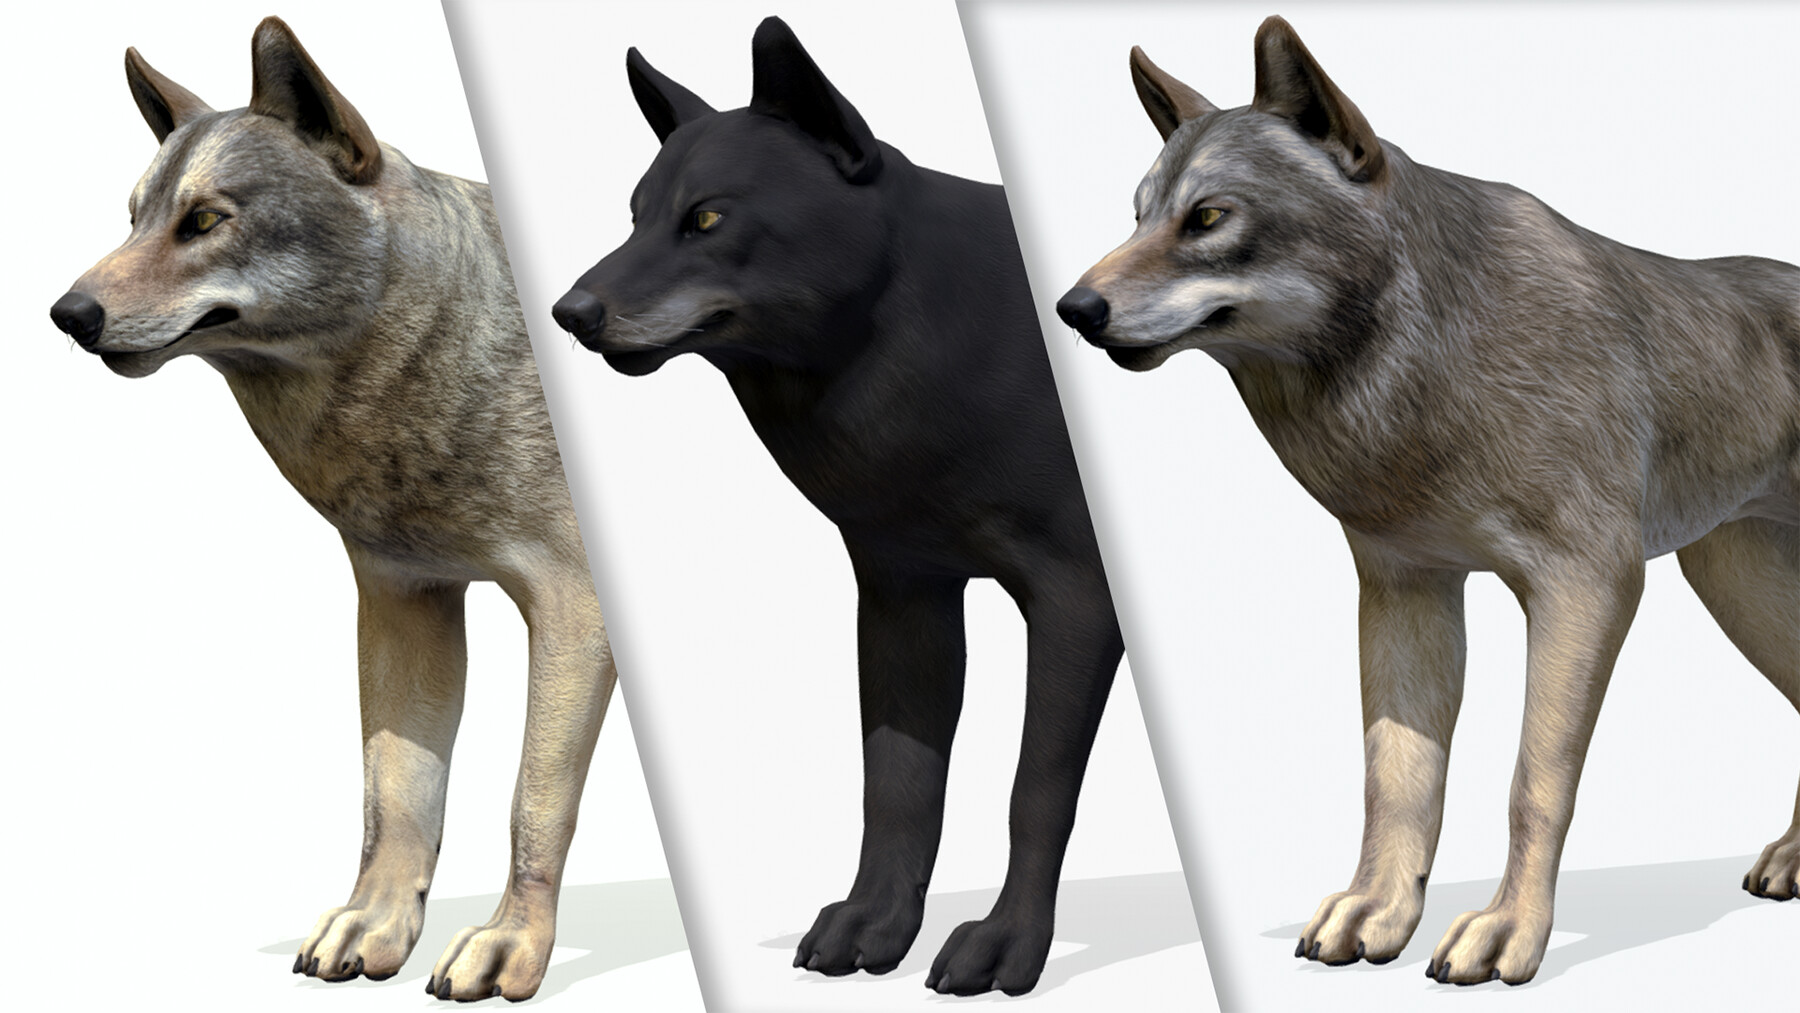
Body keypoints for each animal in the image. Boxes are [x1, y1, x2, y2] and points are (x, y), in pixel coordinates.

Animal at [47, 18, 615, 1002]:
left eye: (205, 221)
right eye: (134, 219)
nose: (66, 313)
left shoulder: (572, 612)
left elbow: (532, 803)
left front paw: (512, 942)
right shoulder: (402, 602)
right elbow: (394, 798)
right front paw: (373, 926)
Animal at [549, 16, 1124, 997]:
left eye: (708, 217)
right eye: (633, 215)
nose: (568, 312)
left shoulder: (1076, 593)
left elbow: (1035, 785)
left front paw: (1008, 942)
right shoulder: (902, 593)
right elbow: (895, 781)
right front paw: (874, 925)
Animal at [1059, 14, 1799, 987]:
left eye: (1208, 217)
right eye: (1137, 214)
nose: (1072, 307)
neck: (1427, 354)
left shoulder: (1587, 584)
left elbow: (1533, 780)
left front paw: (1509, 928)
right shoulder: (1406, 589)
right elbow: (1398, 778)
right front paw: (1377, 910)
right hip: (1737, 587)